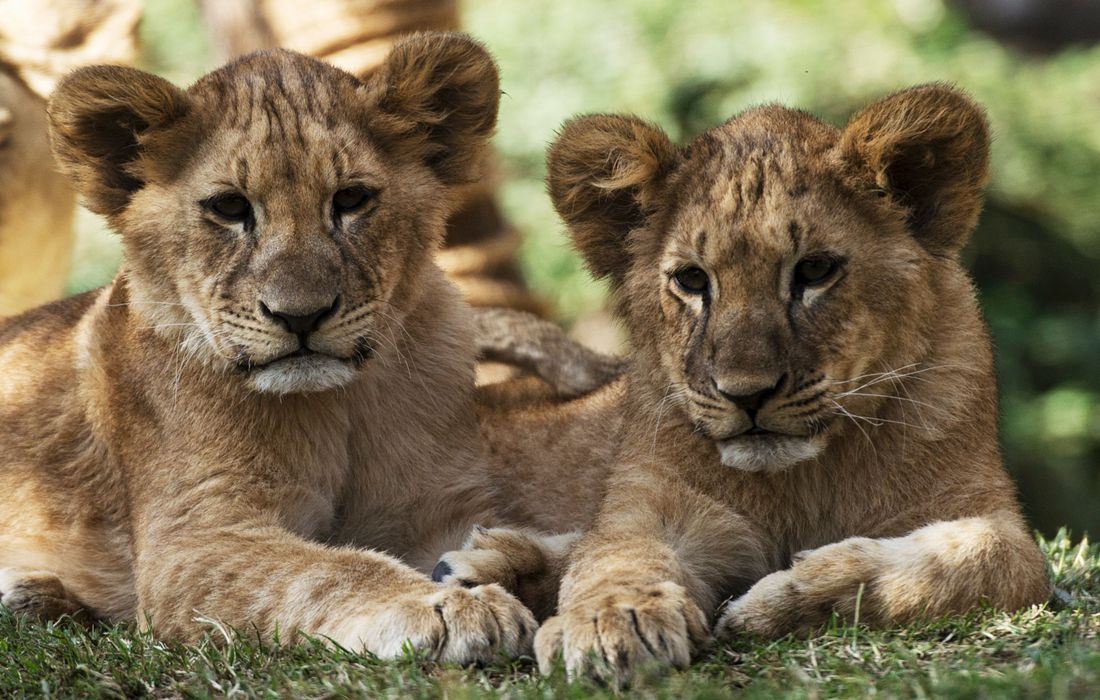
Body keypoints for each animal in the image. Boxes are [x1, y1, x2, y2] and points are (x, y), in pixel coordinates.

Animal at [0, 32, 620, 663]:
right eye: (229, 207)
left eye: (351, 199)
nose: (300, 316)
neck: (338, 407)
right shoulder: (191, 540)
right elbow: (325, 571)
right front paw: (449, 607)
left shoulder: (442, 509)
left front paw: (500, 566)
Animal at [435, 84, 1052, 686]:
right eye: (691, 279)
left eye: (814, 270)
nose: (746, 393)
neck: (803, 481)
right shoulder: (653, 503)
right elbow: (615, 555)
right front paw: (613, 620)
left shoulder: (995, 522)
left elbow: (975, 559)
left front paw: (784, 599)